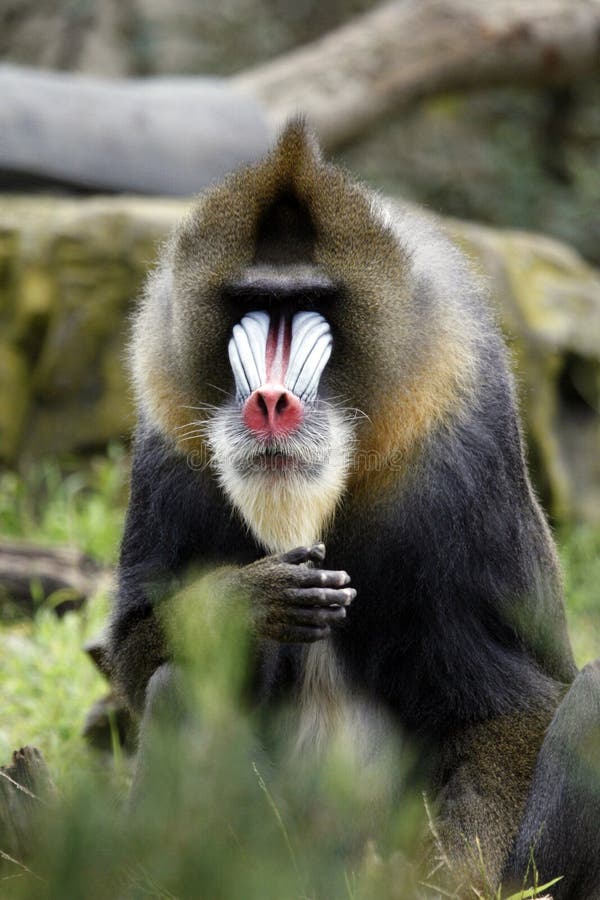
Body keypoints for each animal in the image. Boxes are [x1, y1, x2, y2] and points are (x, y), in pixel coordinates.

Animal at [108, 119, 597, 894]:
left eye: (311, 303)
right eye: (252, 305)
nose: (270, 402)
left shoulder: (459, 458)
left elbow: (505, 706)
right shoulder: (166, 437)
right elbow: (133, 652)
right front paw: (254, 603)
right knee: (180, 687)